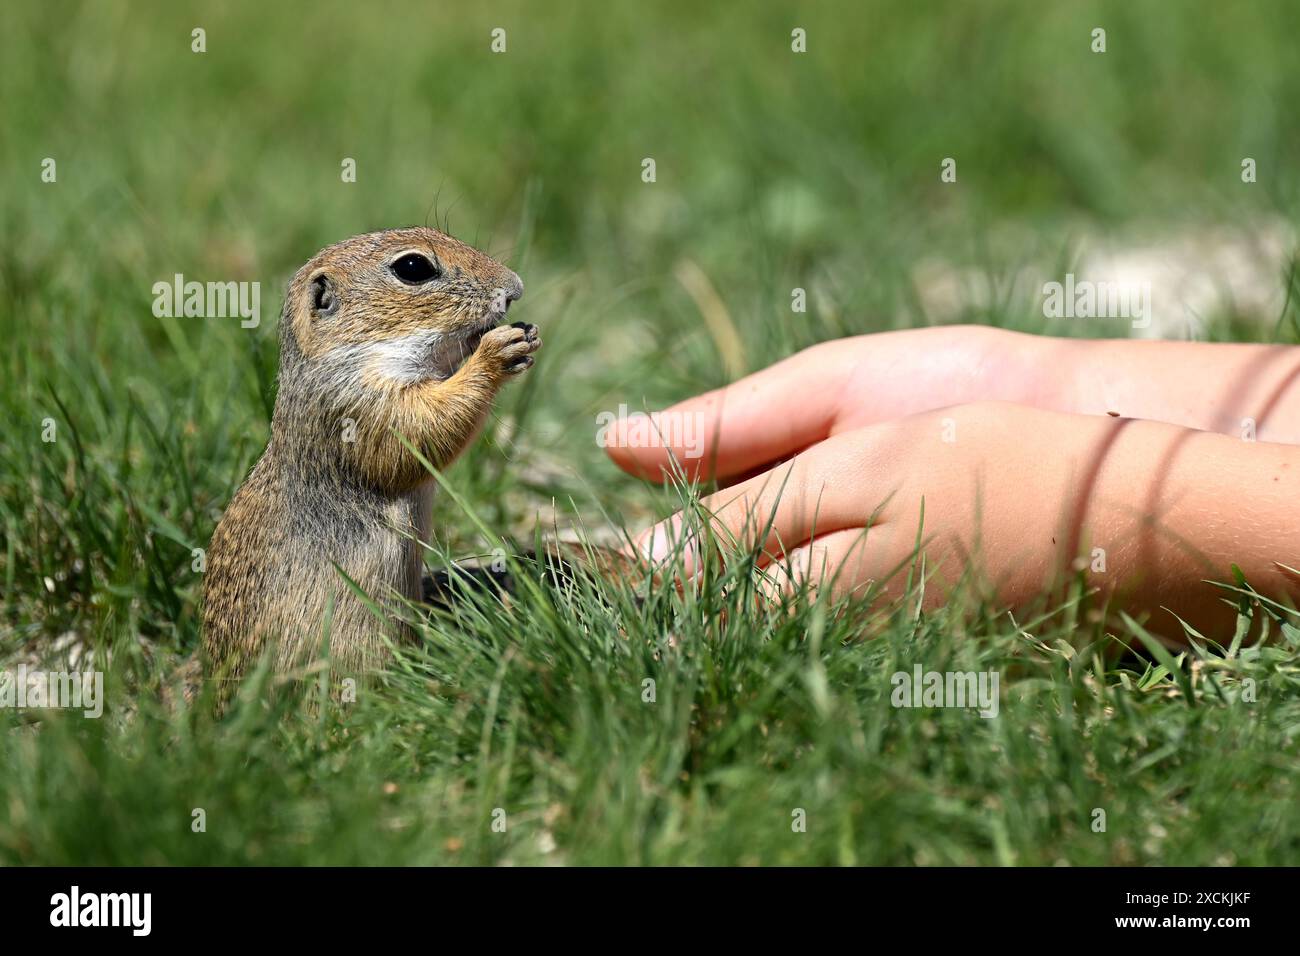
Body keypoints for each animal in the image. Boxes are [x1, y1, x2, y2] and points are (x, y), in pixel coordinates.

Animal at [201, 227, 540, 685]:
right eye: (413, 267)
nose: (515, 287)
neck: (355, 354)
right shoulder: (360, 406)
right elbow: (422, 428)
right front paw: (497, 351)